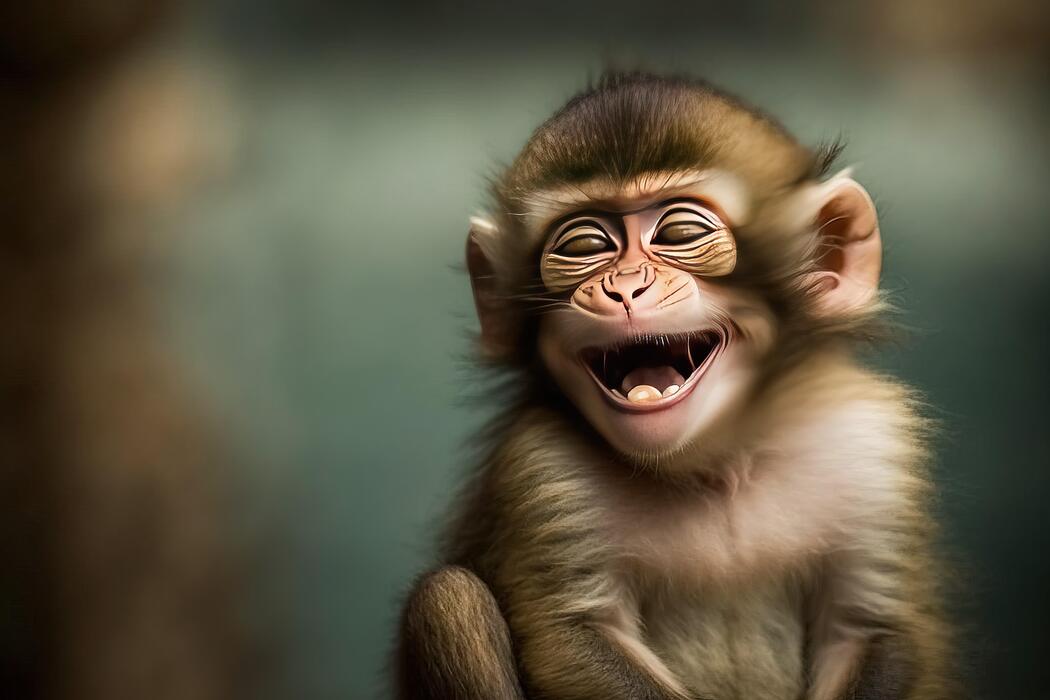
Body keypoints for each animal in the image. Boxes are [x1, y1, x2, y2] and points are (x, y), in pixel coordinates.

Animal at [395, 71, 957, 700]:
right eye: (584, 246)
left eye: (681, 232)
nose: (624, 287)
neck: (717, 464)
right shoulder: (543, 467)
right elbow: (576, 633)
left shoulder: (871, 442)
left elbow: (870, 630)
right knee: (448, 601)